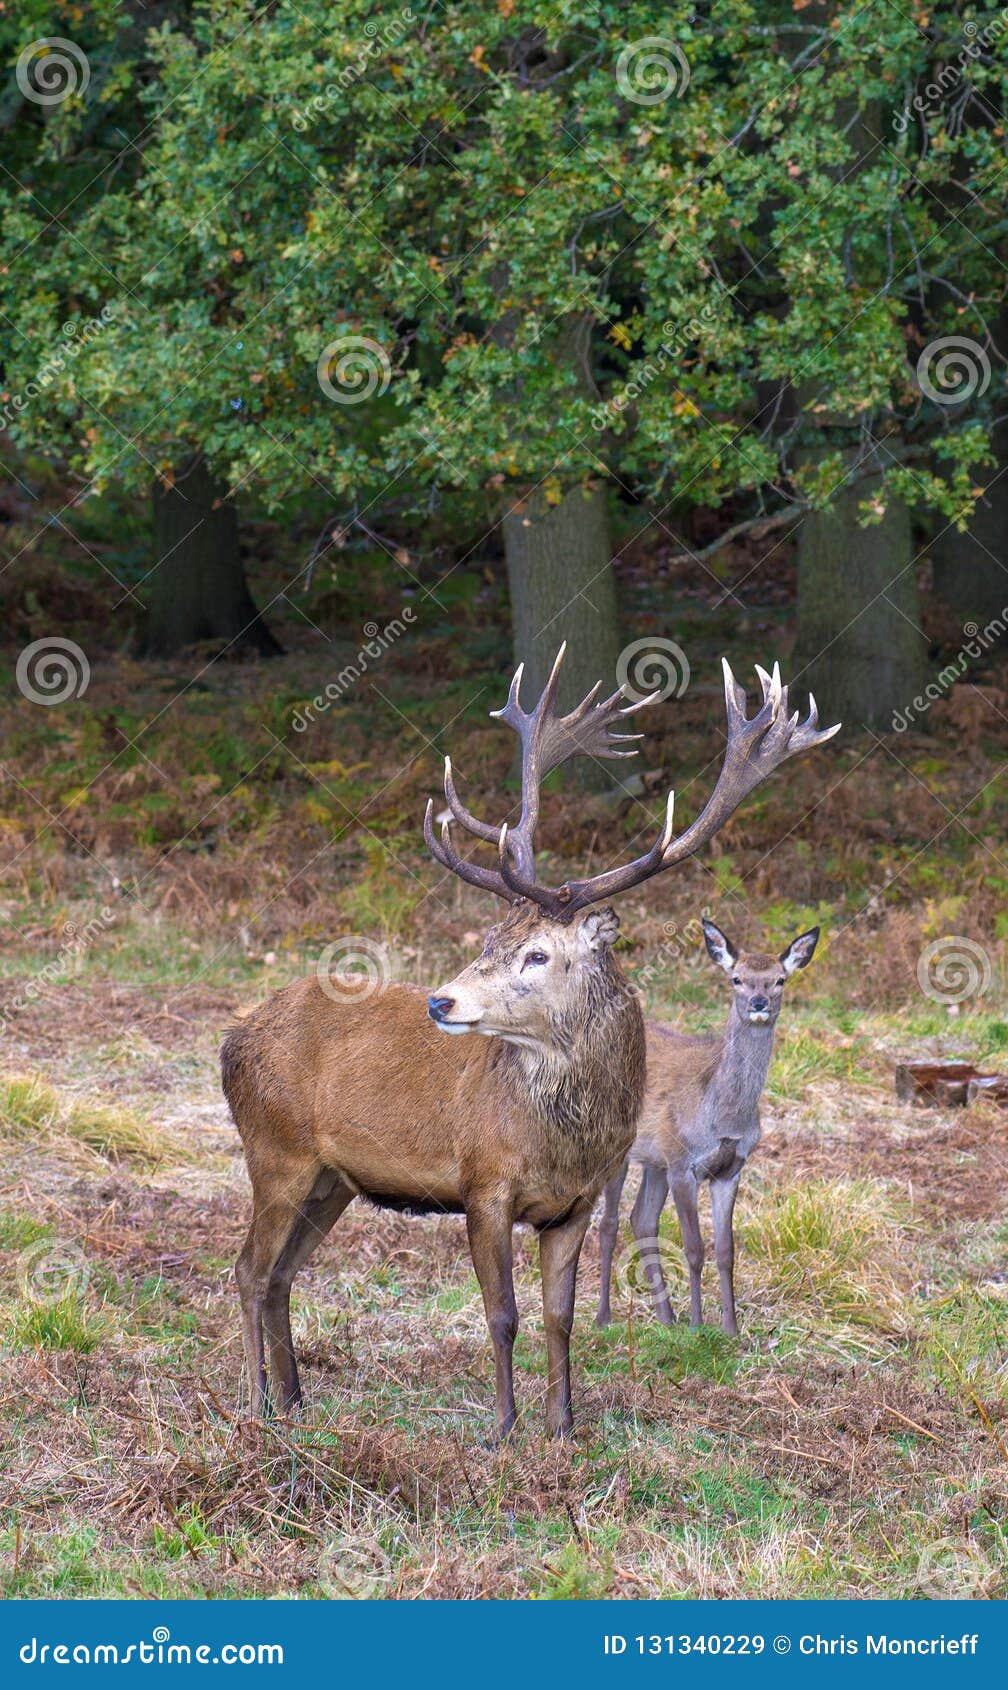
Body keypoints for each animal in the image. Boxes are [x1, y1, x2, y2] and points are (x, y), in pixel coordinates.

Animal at [595, 917, 820, 1337]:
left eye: (780, 979)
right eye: (737, 978)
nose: (759, 1003)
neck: (723, 1116)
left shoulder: (729, 1168)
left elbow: (726, 1250)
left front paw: (731, 1329)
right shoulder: (684, 1164)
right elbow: (694, 1248)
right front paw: (698, 1327)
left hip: (655, 1160)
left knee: (641, 1219)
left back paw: (665, 1318)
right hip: (617, 1145)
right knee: (608, 1224)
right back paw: (605, 1317)